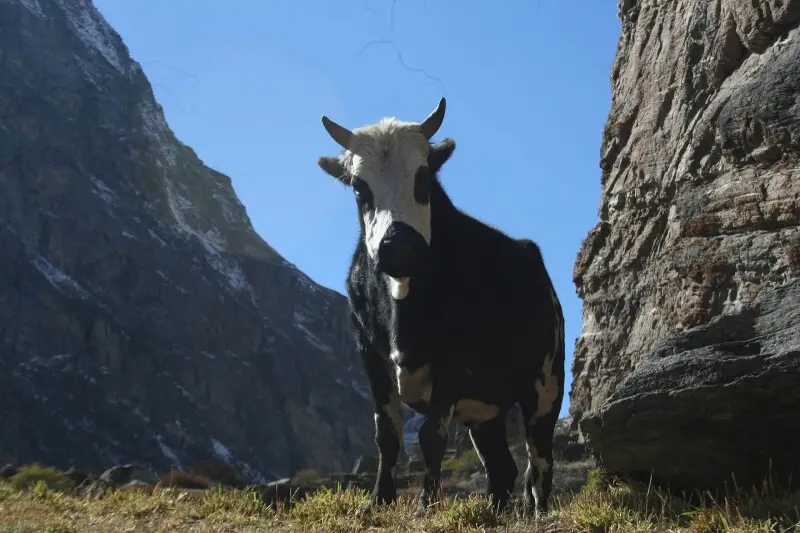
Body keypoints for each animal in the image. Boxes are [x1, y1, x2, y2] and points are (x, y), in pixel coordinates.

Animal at [316, 98, 565, 519]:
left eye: (422, 177)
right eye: (359, 187)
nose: (399, 247)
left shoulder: (452, 361)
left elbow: (431, 435)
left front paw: (424, 506)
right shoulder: (370, 354)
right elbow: (386, 435)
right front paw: (378, 502)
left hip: (546, 384)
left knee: (539, 460)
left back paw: (537, 513)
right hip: (485, 408)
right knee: (502, 466)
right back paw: (494, 512)